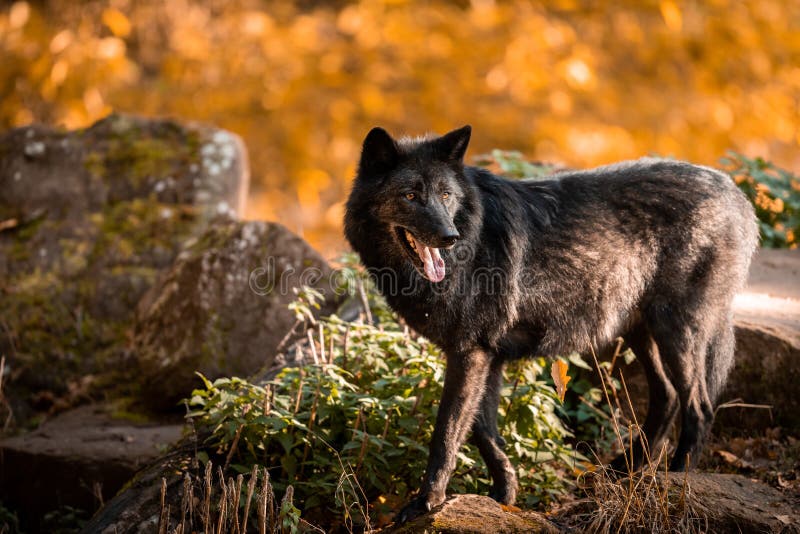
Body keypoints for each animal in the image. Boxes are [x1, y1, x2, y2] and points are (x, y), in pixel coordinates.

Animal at [343, 125, 758, 522]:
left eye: (445, 195)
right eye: (410, 196)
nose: (449, 236)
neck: (471, 242)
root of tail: (733, 193)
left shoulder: (470, 353)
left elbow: (446, 433)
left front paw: (427, 501)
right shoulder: (487, 356)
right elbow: (482, 430)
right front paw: (504, 494)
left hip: (677, 332)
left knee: (699, 406)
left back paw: (676, 479)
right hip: (638, 332)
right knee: (668, 396)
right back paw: (623, 473)